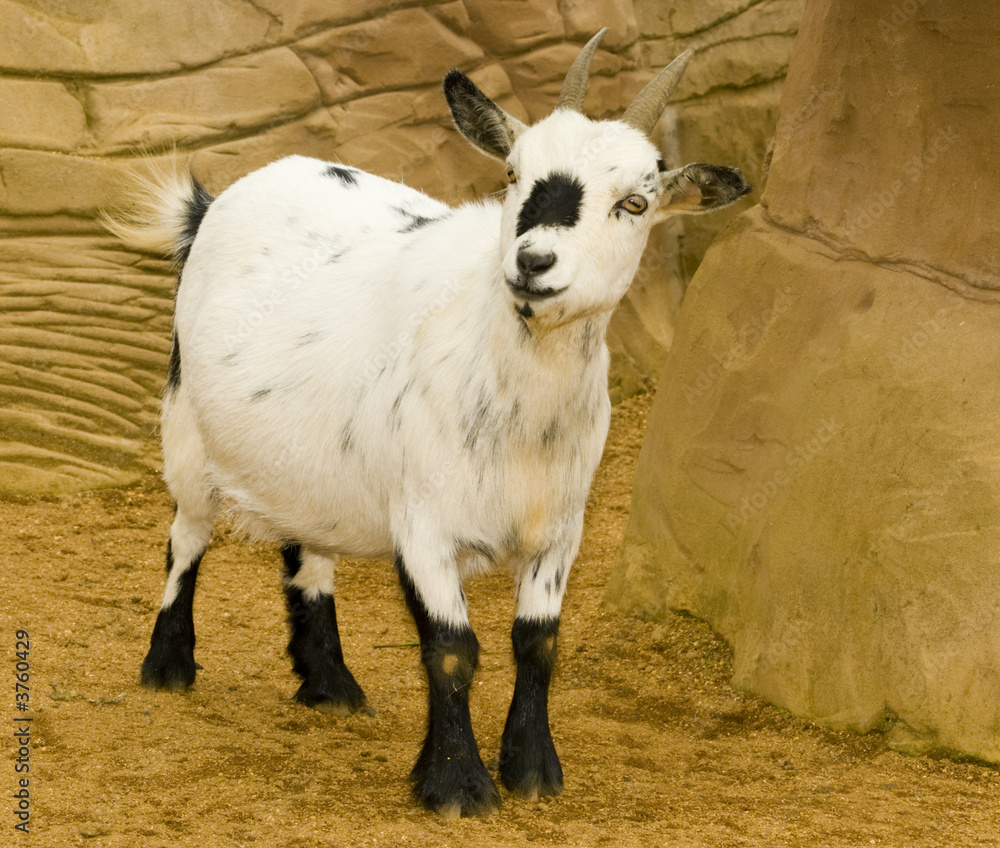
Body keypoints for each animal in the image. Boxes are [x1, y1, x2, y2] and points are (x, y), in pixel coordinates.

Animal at [106, 30, 749, 818]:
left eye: (635, 201)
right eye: (512, 174)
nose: (534, 261)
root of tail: (218, 202)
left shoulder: (560, 527)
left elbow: (538, 643)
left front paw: (534, 770)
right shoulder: (425, 523)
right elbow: (451, 648)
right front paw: (456, 786)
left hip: (307, 458)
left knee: (308, 548)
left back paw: (330, 684)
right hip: (188, 432)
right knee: (186, 538)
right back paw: (168, 666)